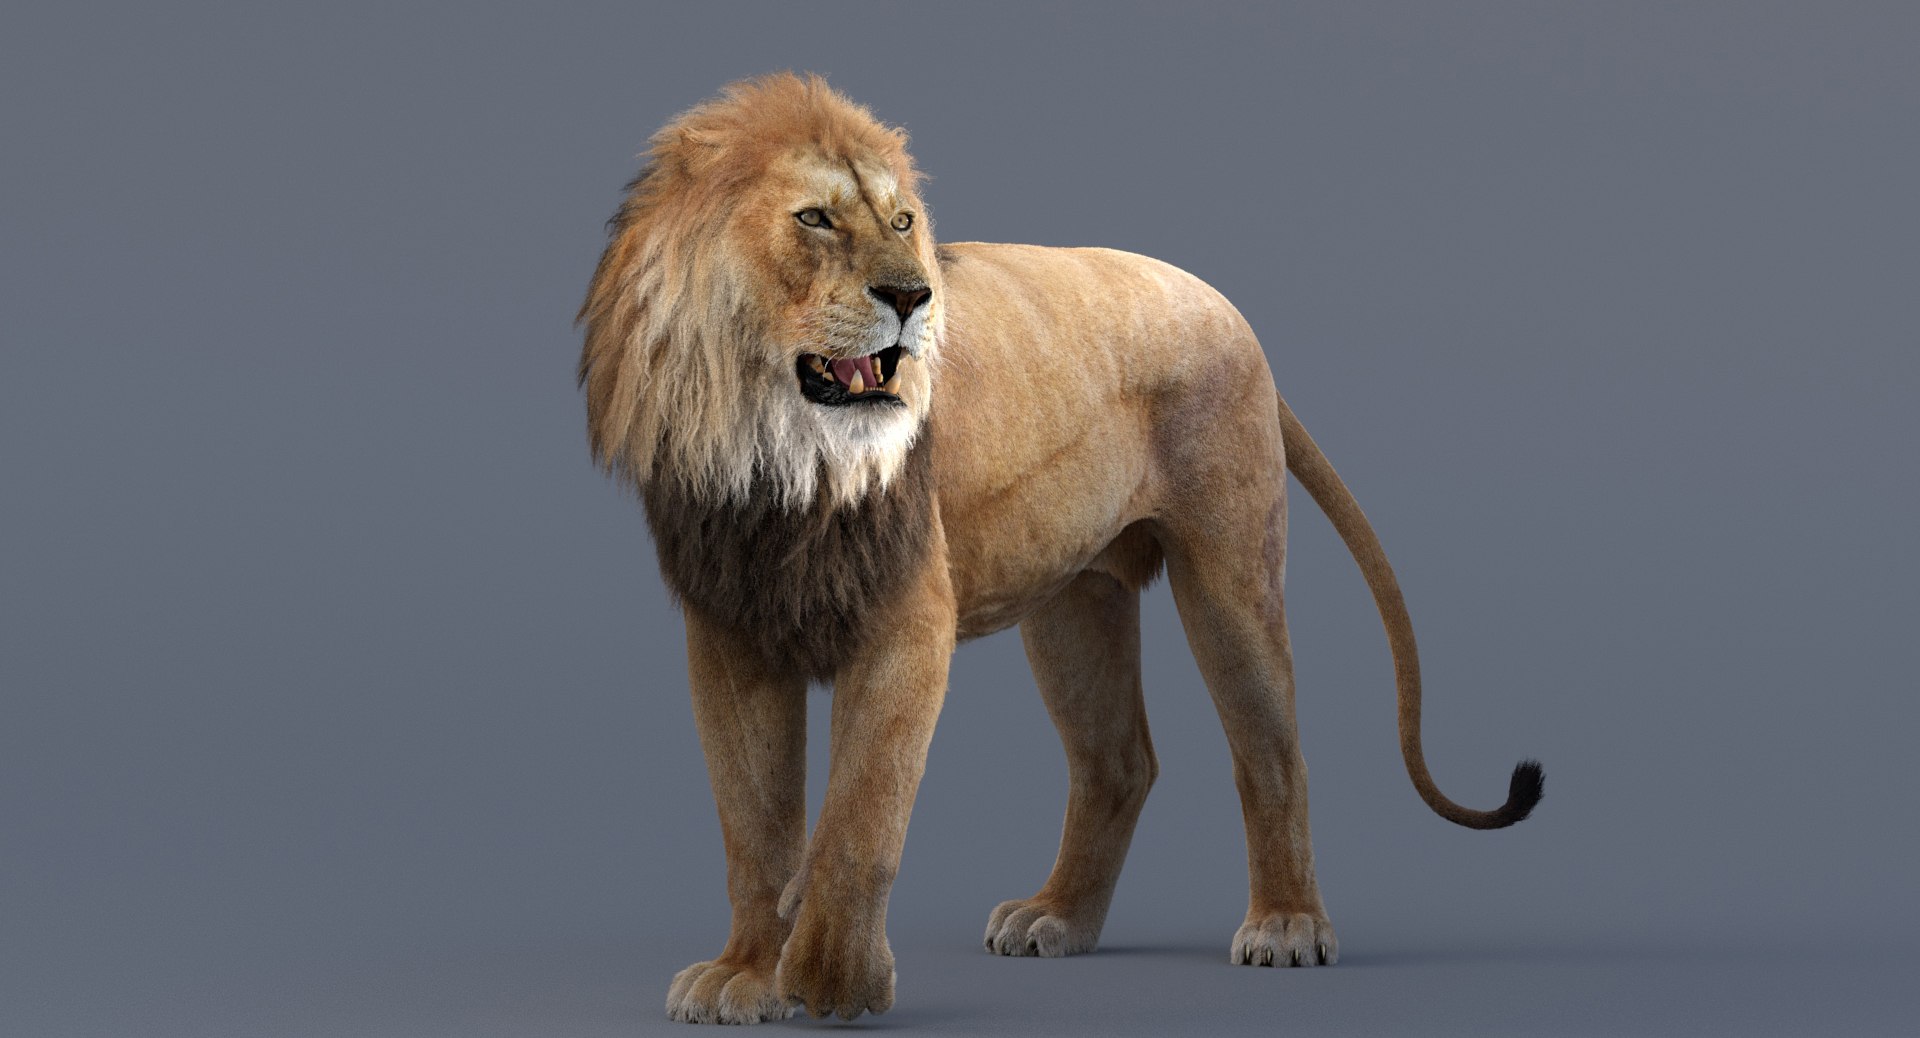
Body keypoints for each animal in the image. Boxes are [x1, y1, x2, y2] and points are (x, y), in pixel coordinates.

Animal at [578, 73, 1543, 1024]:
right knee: (1120, 760)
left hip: (1228, 571)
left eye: (903, 222)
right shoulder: (728, 632)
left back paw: (1287, 925)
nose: (911, 297)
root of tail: (1226, 306)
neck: (780, 453)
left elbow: (860, 816)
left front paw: (828, 981)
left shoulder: (906, 622)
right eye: (814, 218)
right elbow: (752, 823)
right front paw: (744, 972)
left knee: (1271, 748)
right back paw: (1058, 917)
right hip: (1073, 602)